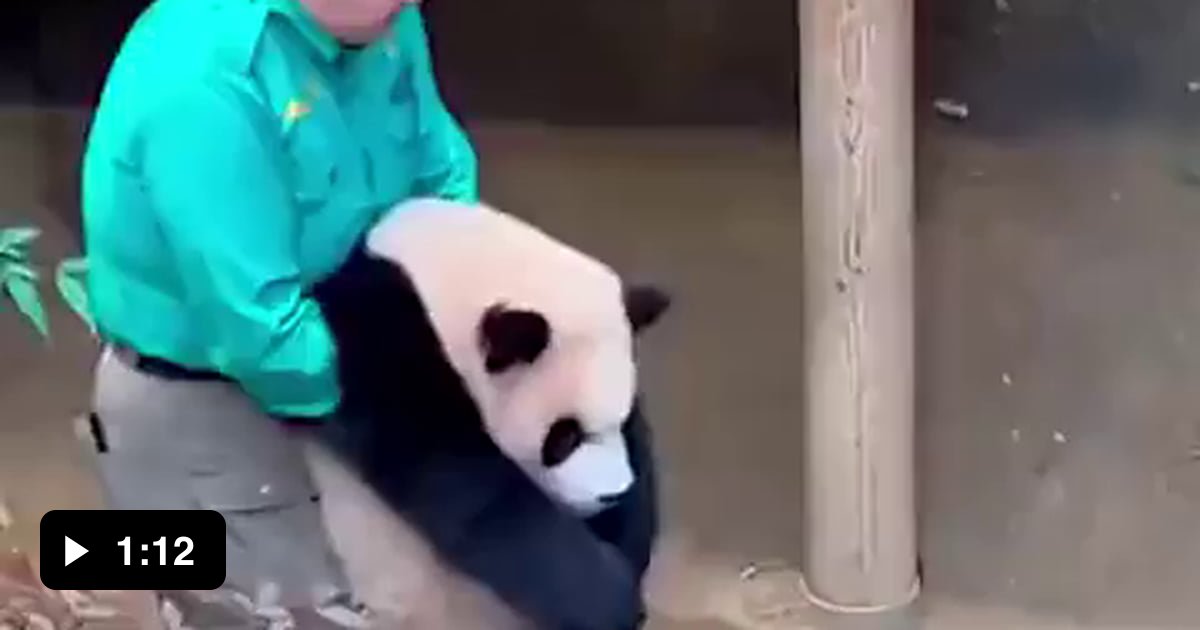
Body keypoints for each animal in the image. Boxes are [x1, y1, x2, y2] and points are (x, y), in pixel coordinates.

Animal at [304, 197, 672, 630]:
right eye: (565, 436)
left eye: (621, 417)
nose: (612, 494)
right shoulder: (387, 355)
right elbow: (477, 497)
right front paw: (605, 599)